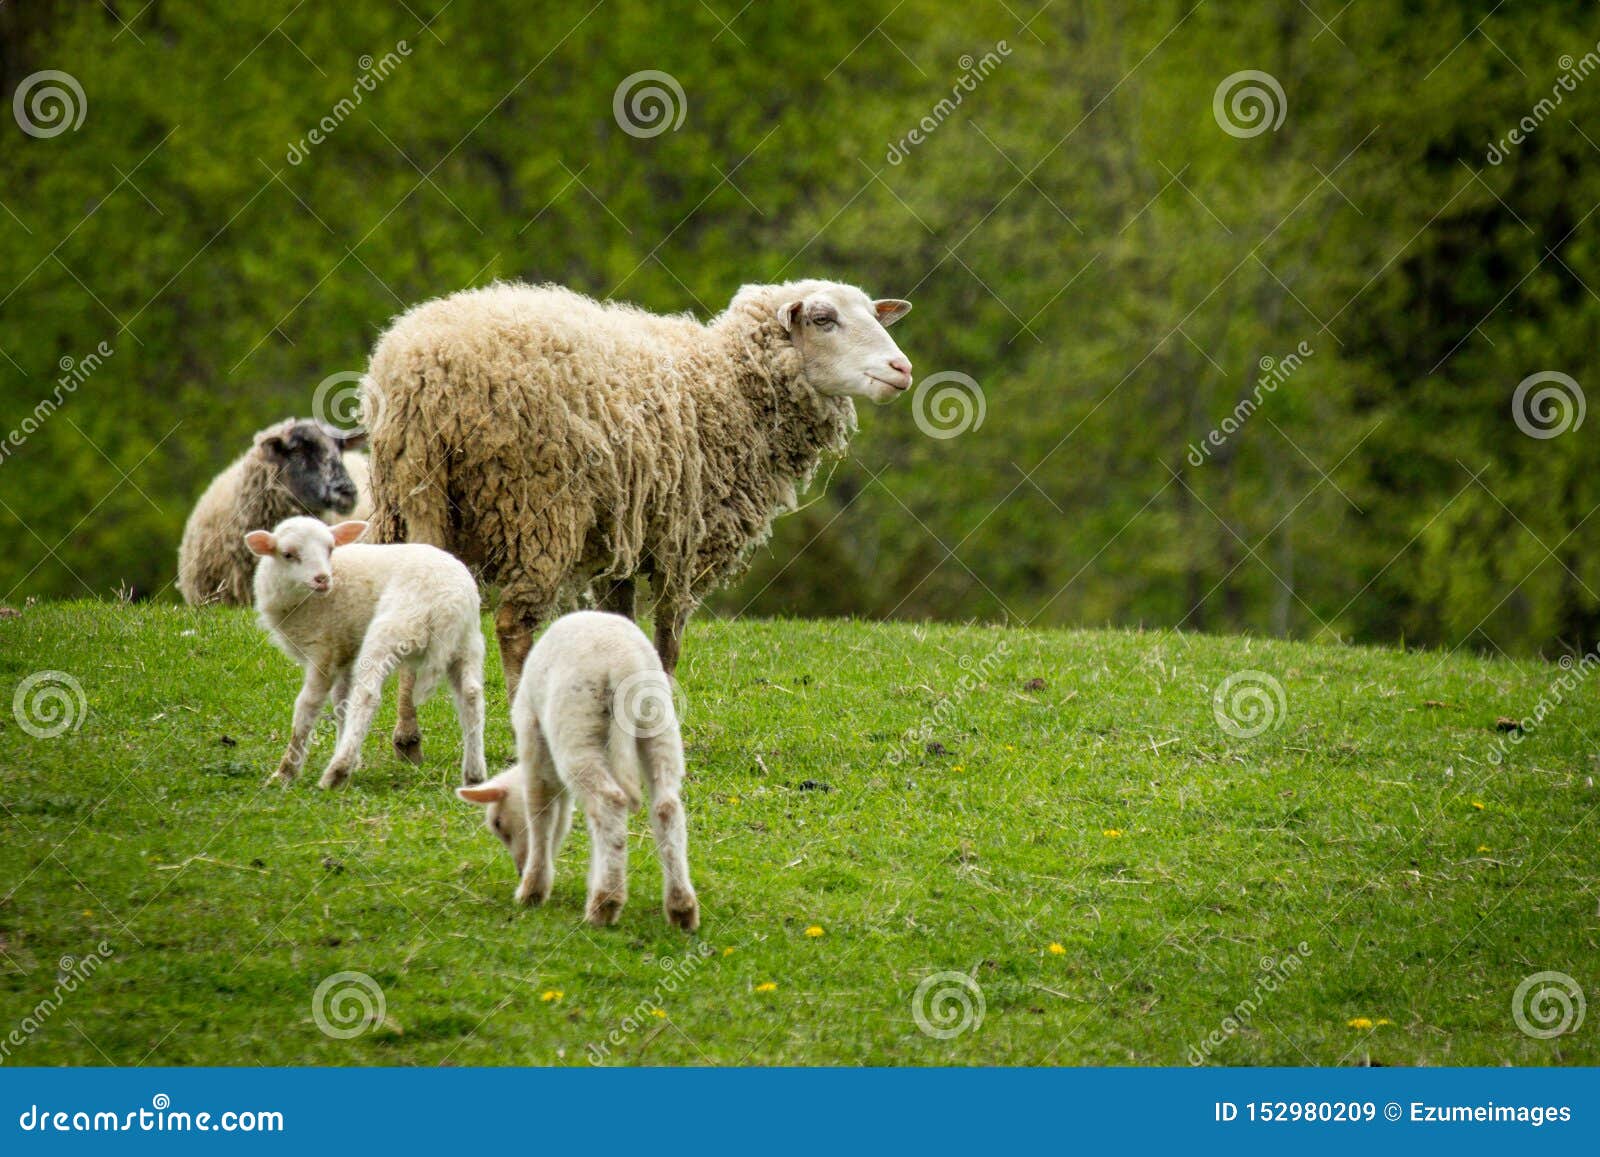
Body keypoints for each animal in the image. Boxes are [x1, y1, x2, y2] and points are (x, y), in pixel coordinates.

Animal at [245, 515, 486, 790]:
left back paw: (336, 772)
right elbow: (341, 701)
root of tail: (449, 601)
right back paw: (474, 776)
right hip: (468, 641)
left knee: (368, 696)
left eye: (330, 549)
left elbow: (308, 707)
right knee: (471, 695)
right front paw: (352, 758)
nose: (322, 579)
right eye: (288, 554)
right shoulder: (345, 651)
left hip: (392, 629)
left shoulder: (324, 650)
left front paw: (285, 772)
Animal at [364, 279, 914, 709]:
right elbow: (668, 637)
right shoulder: (683, 539)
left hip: (411, 500)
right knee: (513, 624)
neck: (723, 386)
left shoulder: (621, 536)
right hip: (537, 507)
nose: (902, 368)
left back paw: (405, 738)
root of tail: (421, 374)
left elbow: (620, 624)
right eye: (823, 319)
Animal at [457, 610, 697, 929]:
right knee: (666, 807)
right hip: (659, 727)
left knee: (610, 801)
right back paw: (681, 907)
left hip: (576, 724)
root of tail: (624, 664)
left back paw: (605, 904)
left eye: (498, 824)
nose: (519, 869)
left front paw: (532, 889)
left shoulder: (533, 738)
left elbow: (541, 814)